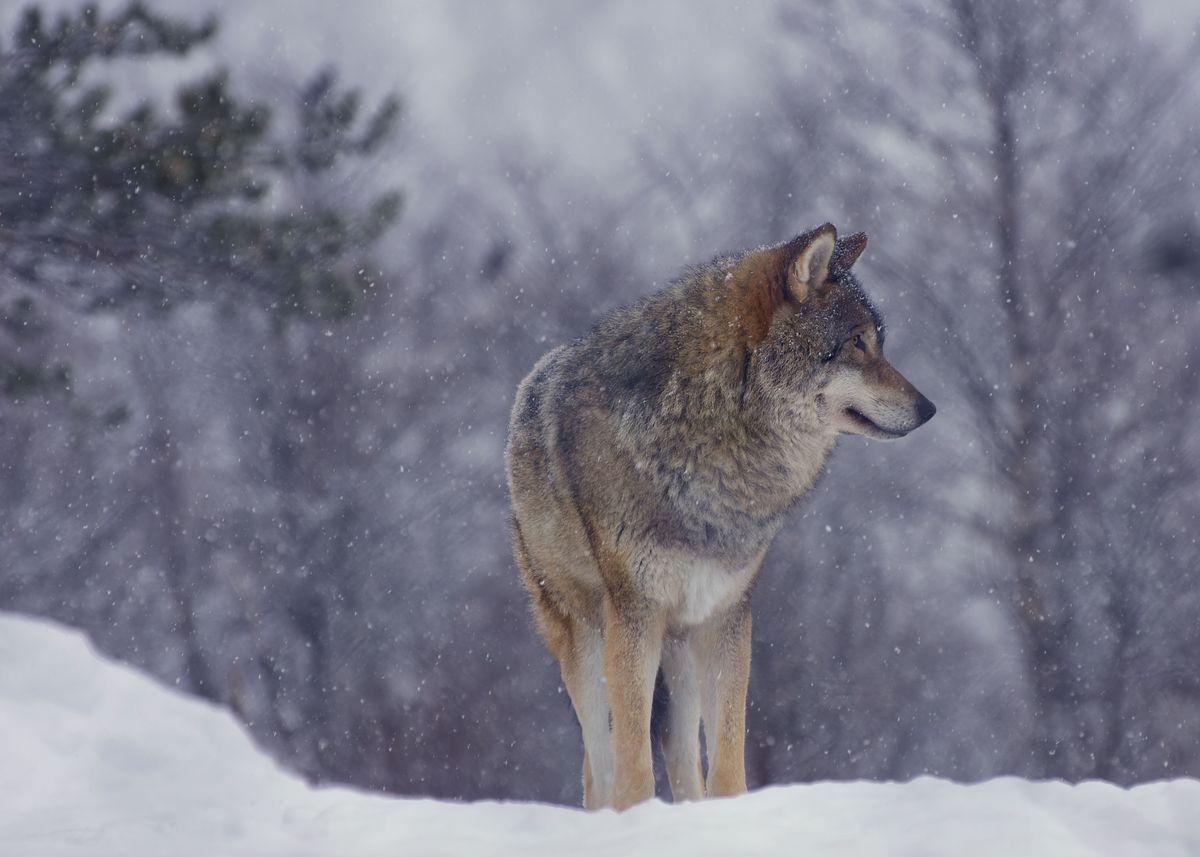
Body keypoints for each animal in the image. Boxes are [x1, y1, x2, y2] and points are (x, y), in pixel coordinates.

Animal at [505, 224, 935, 810]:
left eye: (878, 343)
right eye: (857, 343)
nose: (929, 409)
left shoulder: (727, 615)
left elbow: (727, 763)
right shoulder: (635, 614)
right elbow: (633, 769)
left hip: (681, 650)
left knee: (684, 759)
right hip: (585, 641)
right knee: (599, 762)